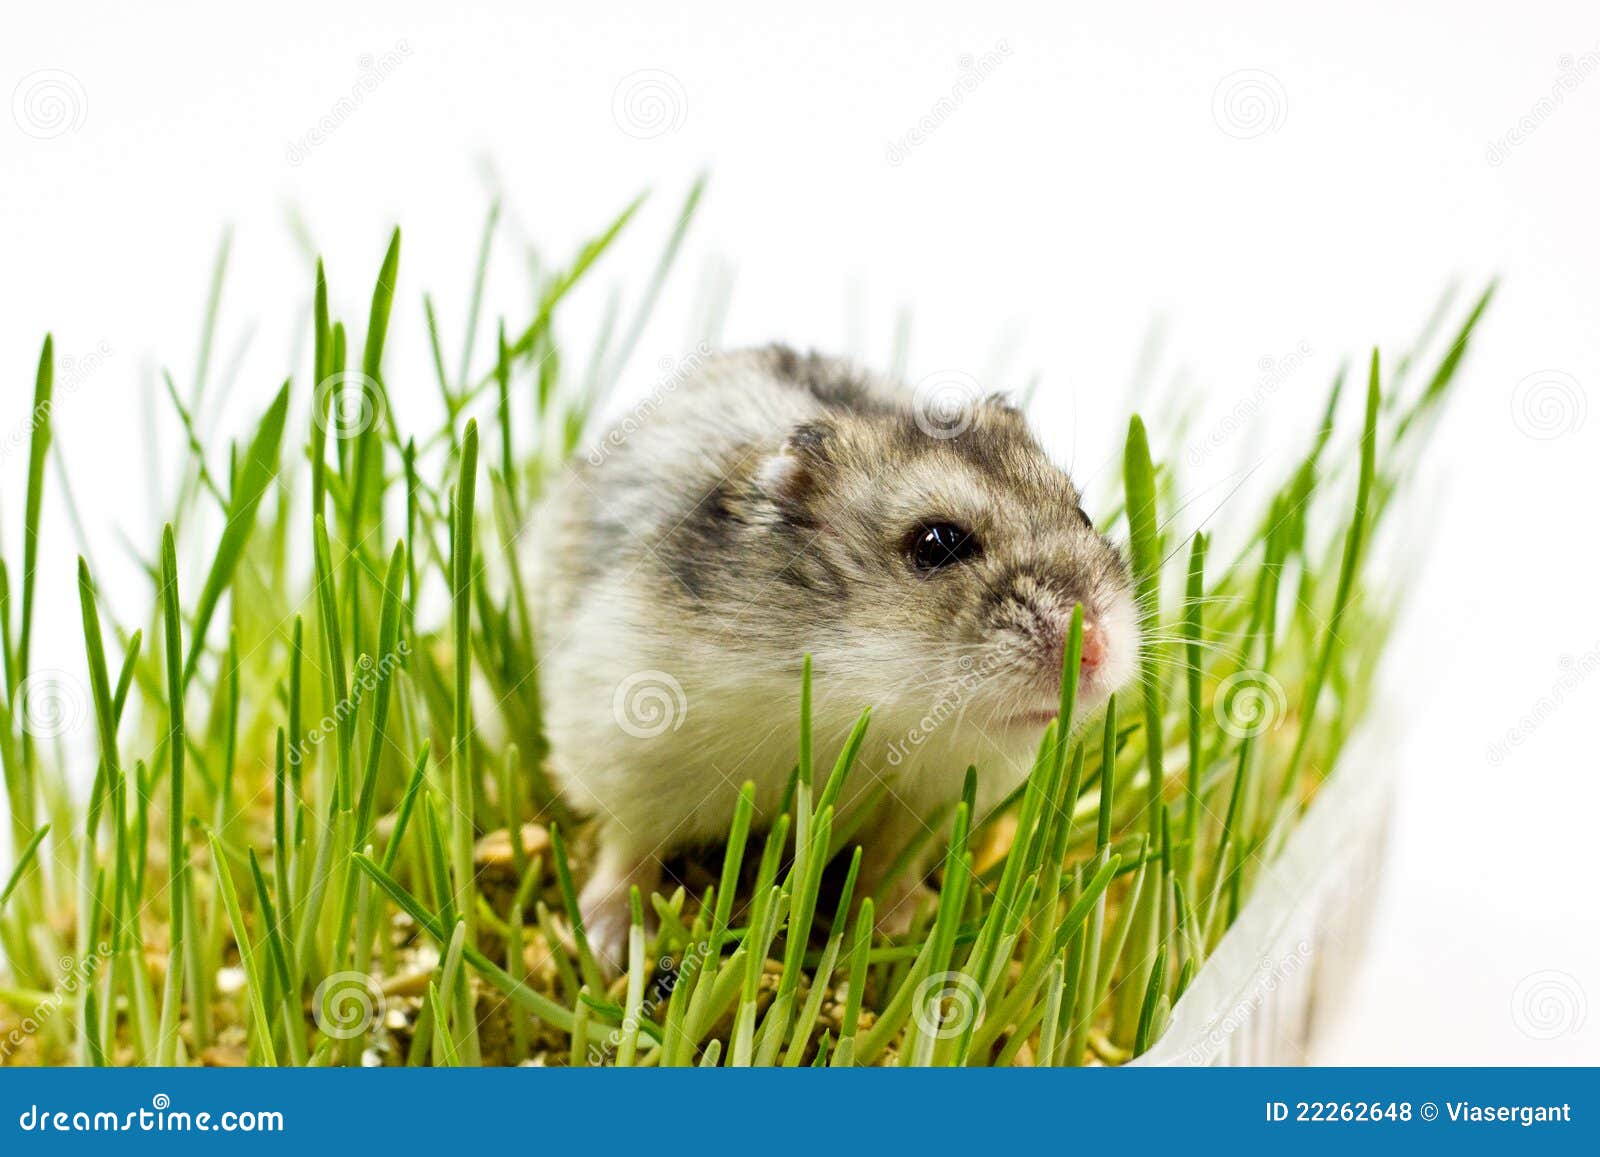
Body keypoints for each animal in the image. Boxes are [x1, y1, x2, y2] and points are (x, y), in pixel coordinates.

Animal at [525, 346, 1138, 963]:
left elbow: (889, 865)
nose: (1095, 650)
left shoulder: (929, 799)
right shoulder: (628, 750)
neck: (854, 697)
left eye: (1083, 516)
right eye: (938, 544)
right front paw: (608, 946)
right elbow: (629, 849)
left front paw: (904, 928)